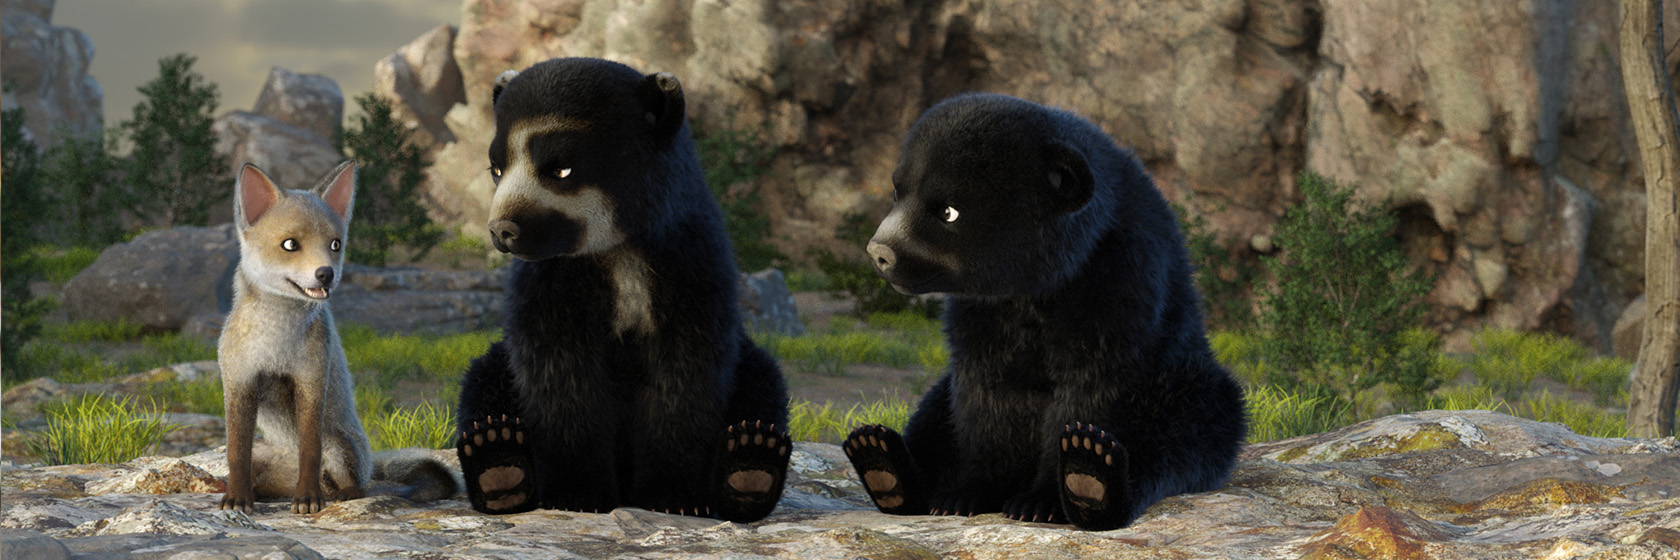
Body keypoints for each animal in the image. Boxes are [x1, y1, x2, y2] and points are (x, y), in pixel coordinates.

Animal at [453, 57, 792, 523]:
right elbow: (560, 370)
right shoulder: (552, 279)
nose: (504, 230)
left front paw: (674, 497)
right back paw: (498, 461)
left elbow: (686, 372)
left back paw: (752, 462)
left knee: (762, 378)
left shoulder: (689, 264)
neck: (618, 251)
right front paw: (576, 493)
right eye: (497, 169)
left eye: (561, 168)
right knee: (486, 378)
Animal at [841, 93, 1247, 531]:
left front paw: (1051, 493)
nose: (881, 253)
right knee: (933, 413)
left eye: (947, 210)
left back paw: (1093, 482)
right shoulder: (983, 308)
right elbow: (987, 391)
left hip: (1181, 377)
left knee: (1185, 429)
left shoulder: (1116, 279)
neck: (1040, 283)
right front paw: (966, 493)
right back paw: (879, 459)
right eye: (897, 191)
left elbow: (1091, 386)